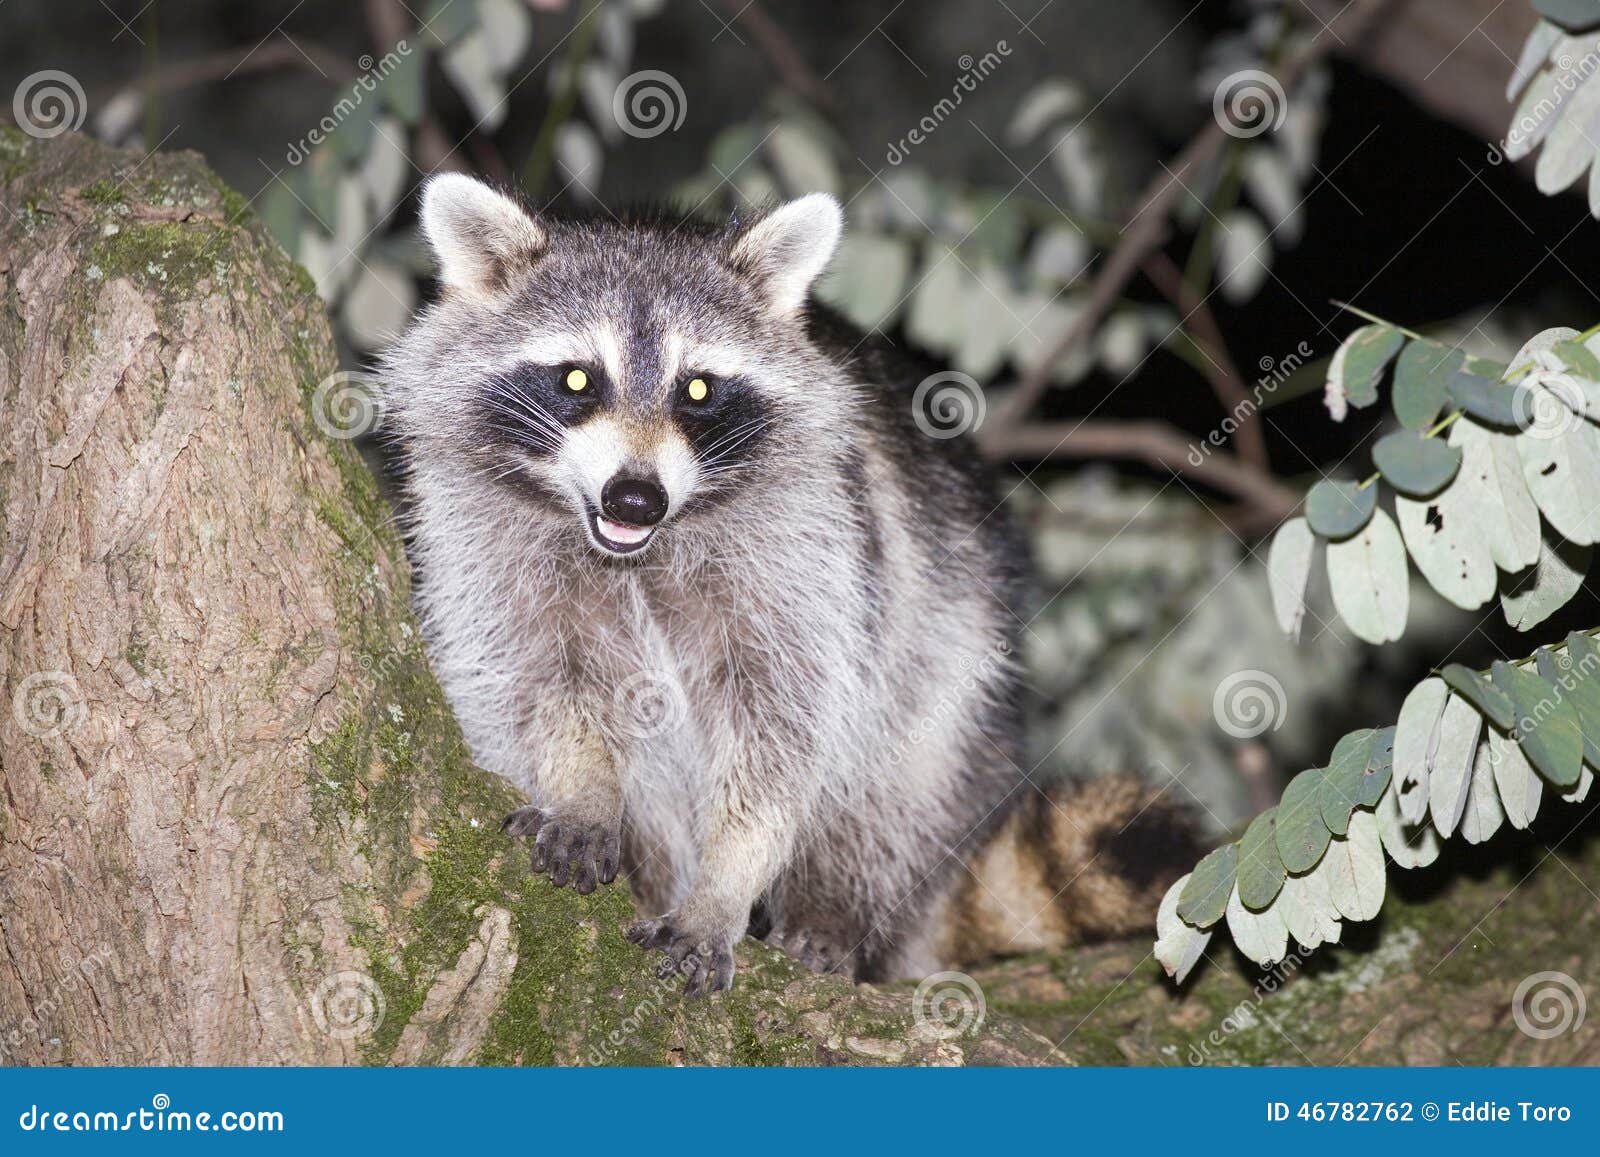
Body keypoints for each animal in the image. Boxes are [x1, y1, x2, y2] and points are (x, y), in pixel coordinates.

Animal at [382, 174, 1195, 994]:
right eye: (577, 378)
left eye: (698, 390)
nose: (634, 499)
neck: (638, 552)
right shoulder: (484, 544)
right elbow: (534, 679)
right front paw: (581, 788)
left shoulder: (814, 554)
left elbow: (785, 733)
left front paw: (724, 887)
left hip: (952, 646)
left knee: (904, 779)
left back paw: (835, 908)